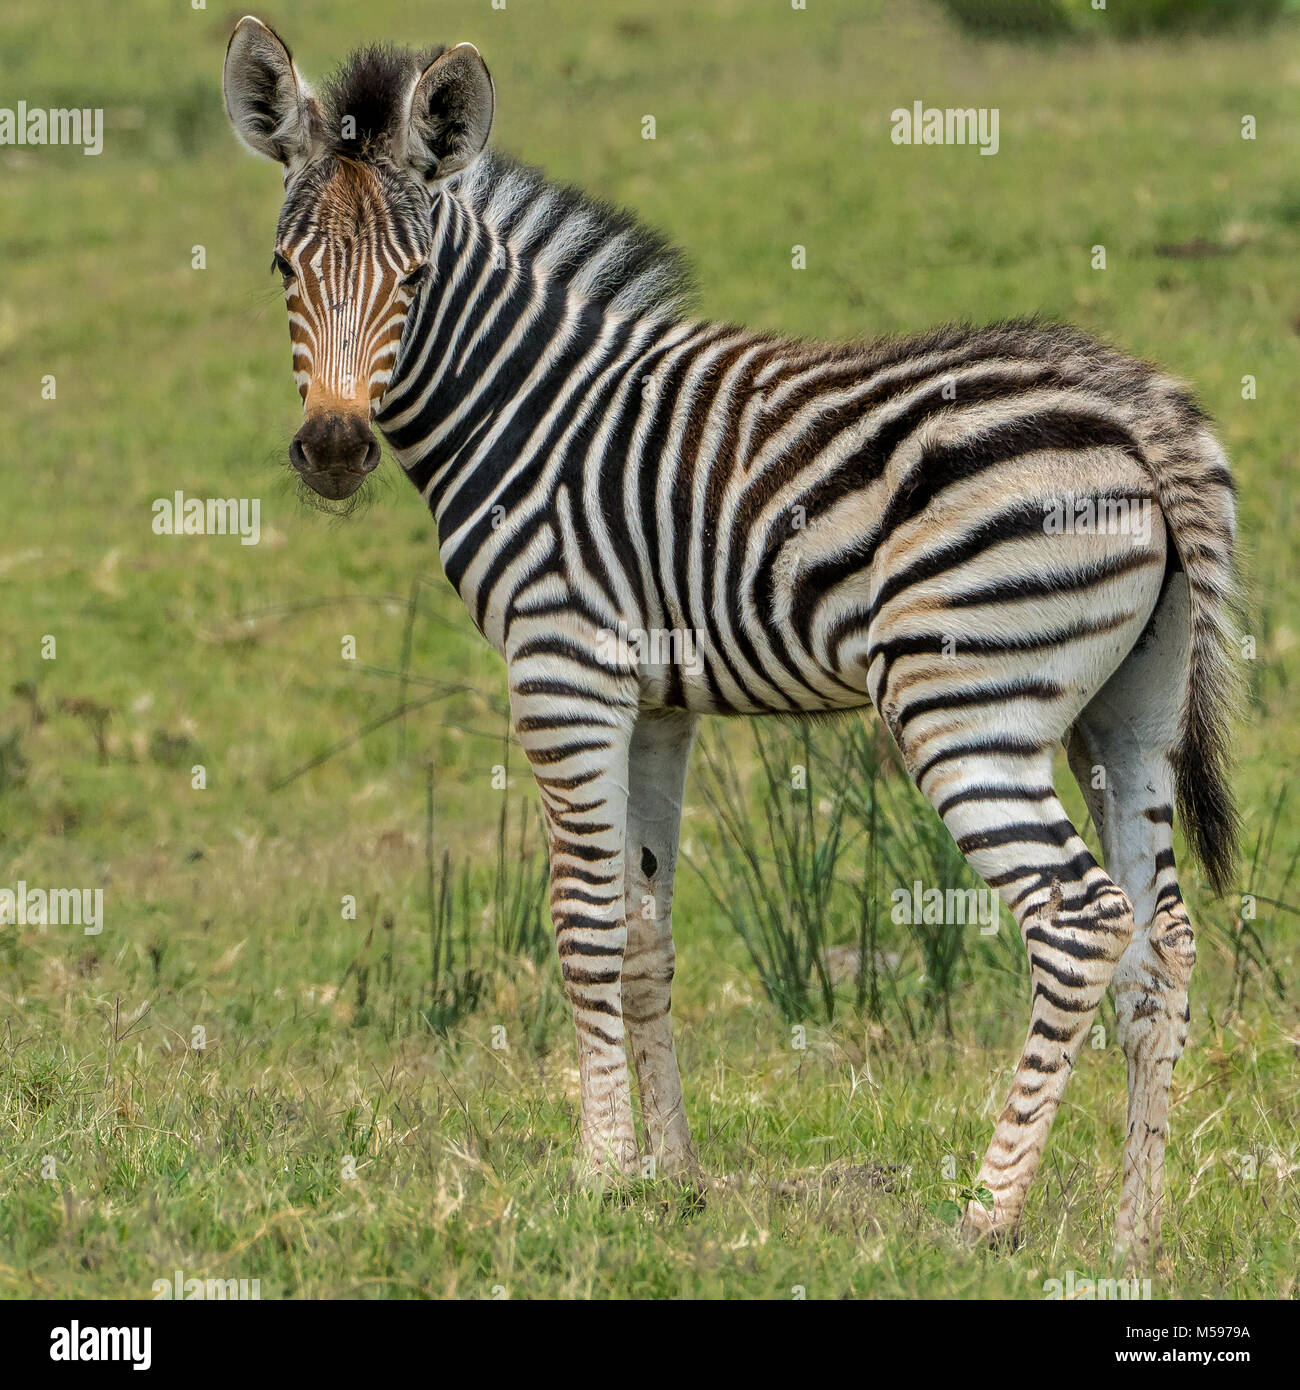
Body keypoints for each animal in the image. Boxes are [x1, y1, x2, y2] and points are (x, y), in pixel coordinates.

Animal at [223, 17, 1242, 1258]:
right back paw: (1130, 1237)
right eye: (285, 270)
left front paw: (597, 1175)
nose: (332, 450)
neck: (528, 409)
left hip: (966, 704)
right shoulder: (657, 701)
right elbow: (644, 932)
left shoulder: (563, 669)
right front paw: (671, 1176)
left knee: (1081, 921)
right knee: (1162, 945)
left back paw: (987, 1213)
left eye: (414, 280)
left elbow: (582, 924)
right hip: (1129, 711)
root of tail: (1135, 412)